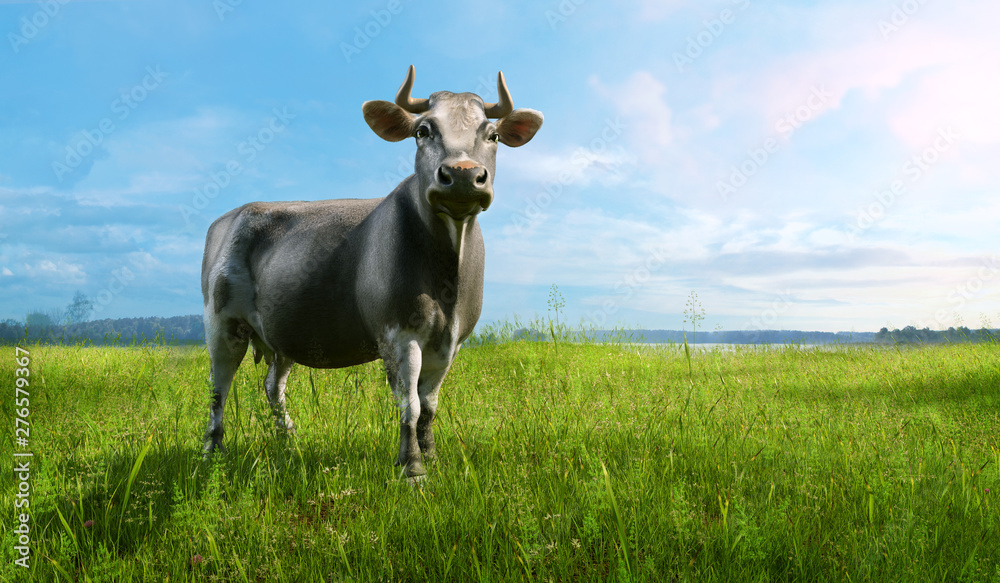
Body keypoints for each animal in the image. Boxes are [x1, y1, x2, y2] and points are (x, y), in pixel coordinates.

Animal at [200, 65, 543, 477]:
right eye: (422, 131)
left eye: (492, 135)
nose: (462, 174)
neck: (448, 281)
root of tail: (232, 214)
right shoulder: (398, 333)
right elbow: (409, 405)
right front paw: (412, 468)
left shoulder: (453, 341)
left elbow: (429, 406)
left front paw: (431, 457)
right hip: (221, 321)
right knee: (218, 387)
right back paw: (212, 452)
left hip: (281, 333)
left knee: (272, 386)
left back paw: (290, 440)